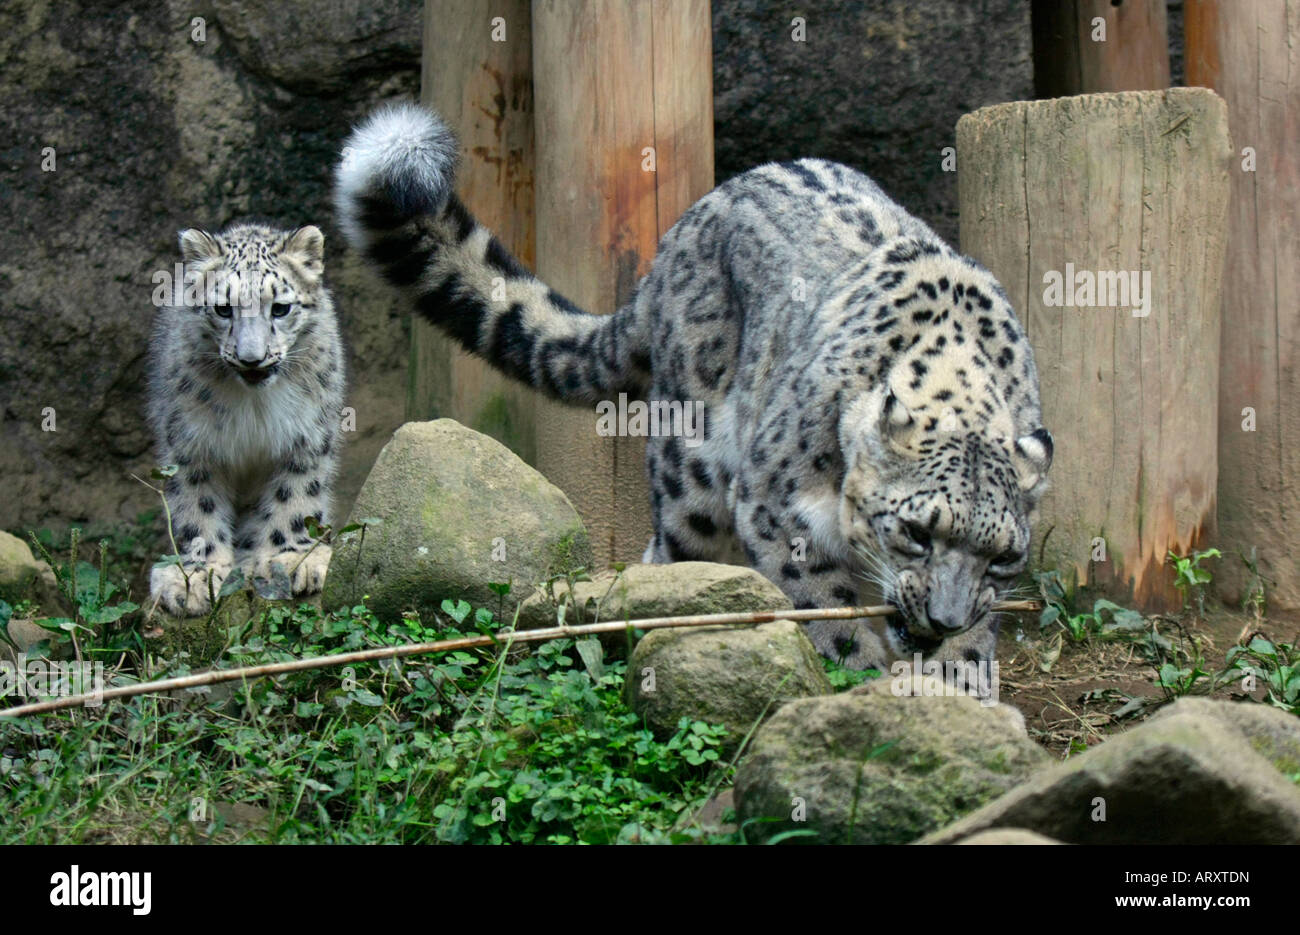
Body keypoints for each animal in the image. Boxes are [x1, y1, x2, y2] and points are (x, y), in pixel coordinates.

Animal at [146, 221, 344, 616]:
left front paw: (291, 558)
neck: (254, 406)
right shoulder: (190, 441)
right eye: (223, 309)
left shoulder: (307, 434)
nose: (252, 358)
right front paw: (195, 576)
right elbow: (197, 502)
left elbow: (295, 494)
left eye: (280, 308)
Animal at [333, 102, 1052, 685]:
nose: (943, 617)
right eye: (916, 531)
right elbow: (825, 603)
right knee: (672, 556)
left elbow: (977, 639)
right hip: (693, 471)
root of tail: (679, 237)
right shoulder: (776, 502)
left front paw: (960, 683)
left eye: (1003, 556)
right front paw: (861, 675)